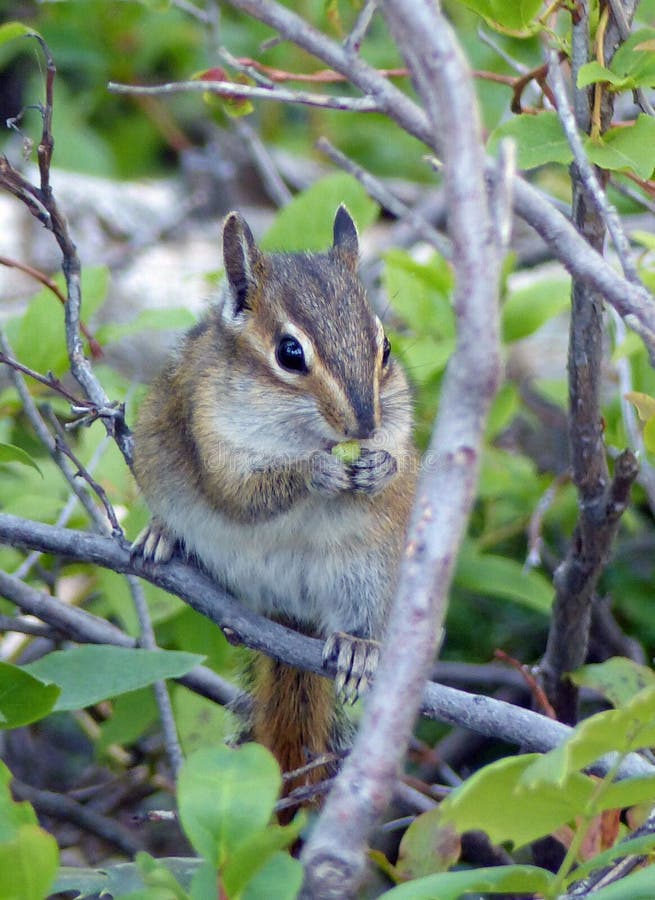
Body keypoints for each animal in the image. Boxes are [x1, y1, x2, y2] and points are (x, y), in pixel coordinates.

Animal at [132, 205, 417, 817]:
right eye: (290, 353)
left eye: (384, 348)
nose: (365, 426)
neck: (300, 433)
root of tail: (289, 613)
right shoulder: (212, 431)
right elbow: (241, 492)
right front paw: (318, 472)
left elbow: (400, 457)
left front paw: (379, 466)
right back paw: (162, 537)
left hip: (372, 571)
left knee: (361, 614)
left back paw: (358, 647)